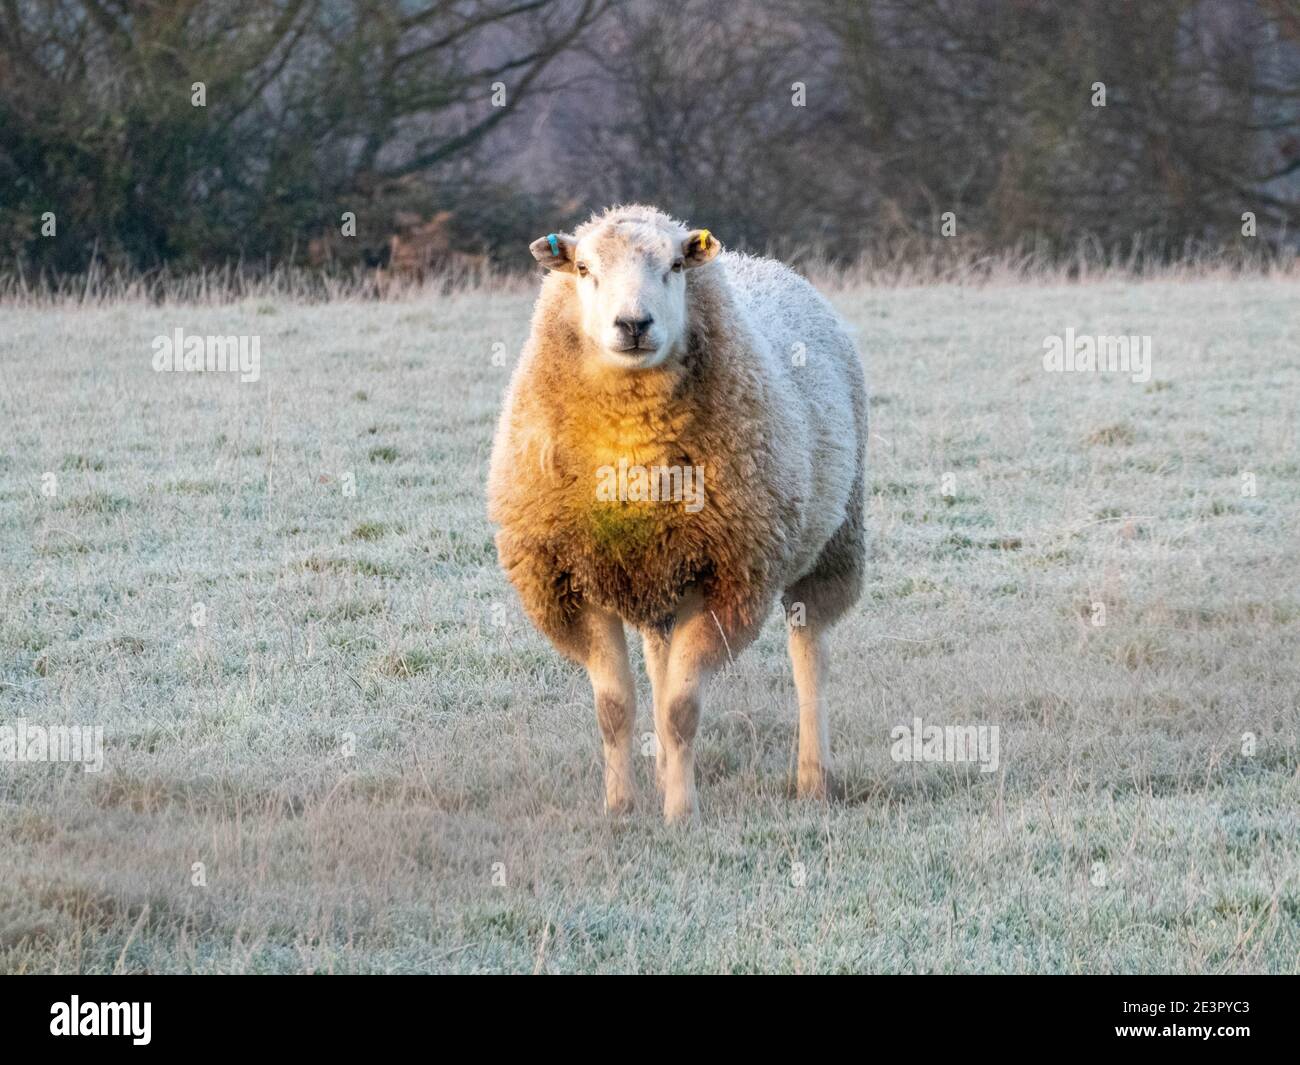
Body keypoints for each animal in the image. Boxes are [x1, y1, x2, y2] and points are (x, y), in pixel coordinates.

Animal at [487, 204, 866, 822]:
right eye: (584, 268)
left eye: (675, 266)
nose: (633, 324)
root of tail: (763, 263)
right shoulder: (573, 579)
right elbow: (616, 709)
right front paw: (621, 807)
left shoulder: (728, 579)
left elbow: (681, 709)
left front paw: (680, 814)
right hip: (657, 573)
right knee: (660, 658)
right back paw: (667, 767)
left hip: (831, 542)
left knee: (809, 657)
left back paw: (814, 779)